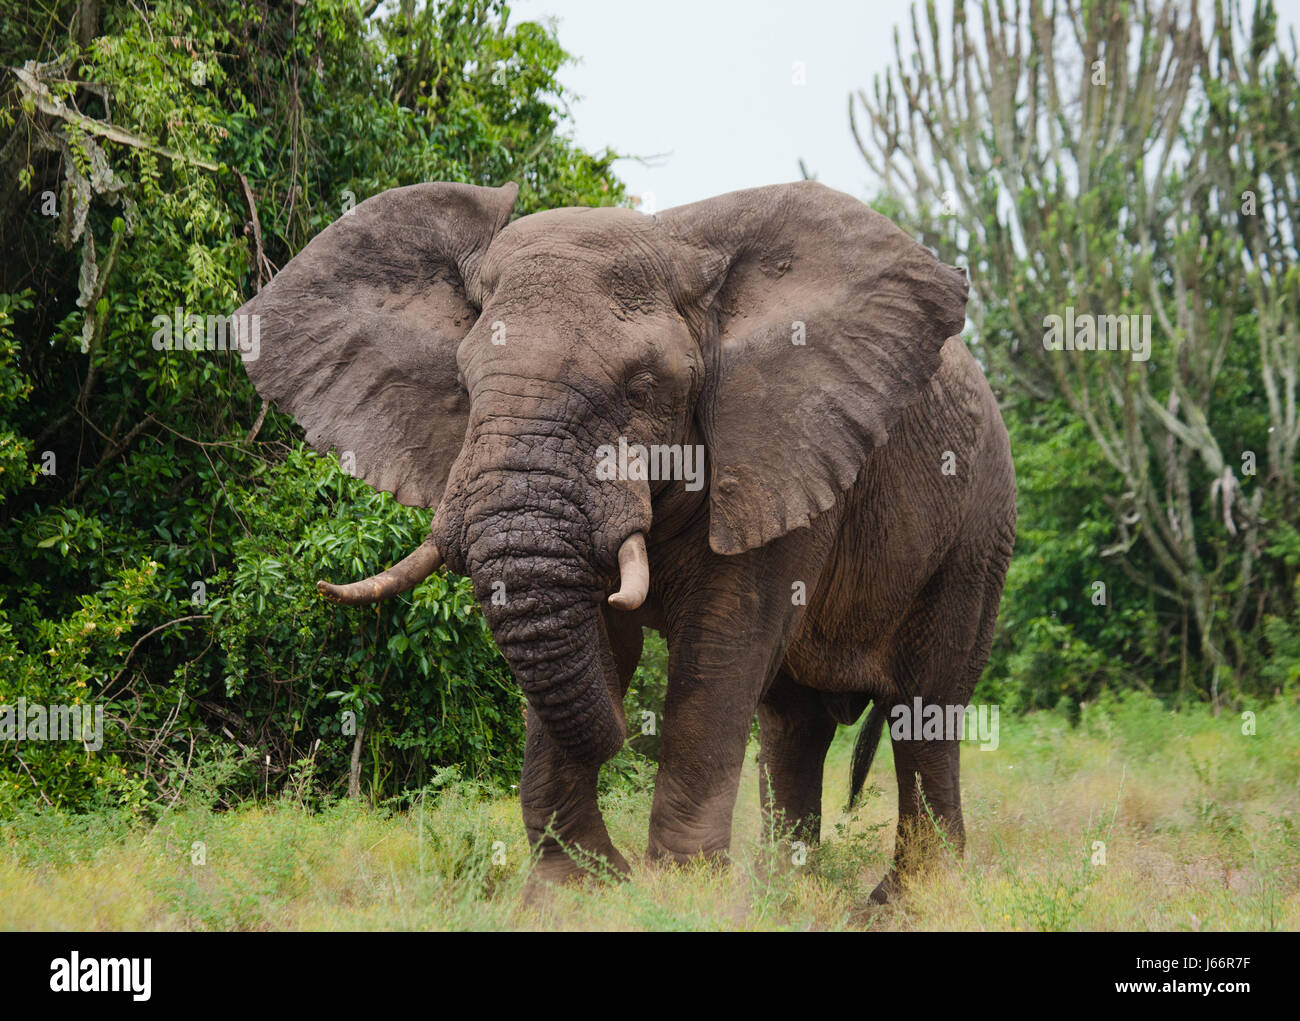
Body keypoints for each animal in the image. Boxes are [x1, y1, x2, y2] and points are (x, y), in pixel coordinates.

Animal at [234, 179, 1016, 903]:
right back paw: (784, 896)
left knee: (926, 709)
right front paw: (575, 892)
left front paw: (679, 894)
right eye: (465, 381)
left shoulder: (777, 446)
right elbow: (600, 634)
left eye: (644, 388)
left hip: (980, 529)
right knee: (794, 724)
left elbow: (721, 644)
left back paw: (905, 902)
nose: (619, 716)